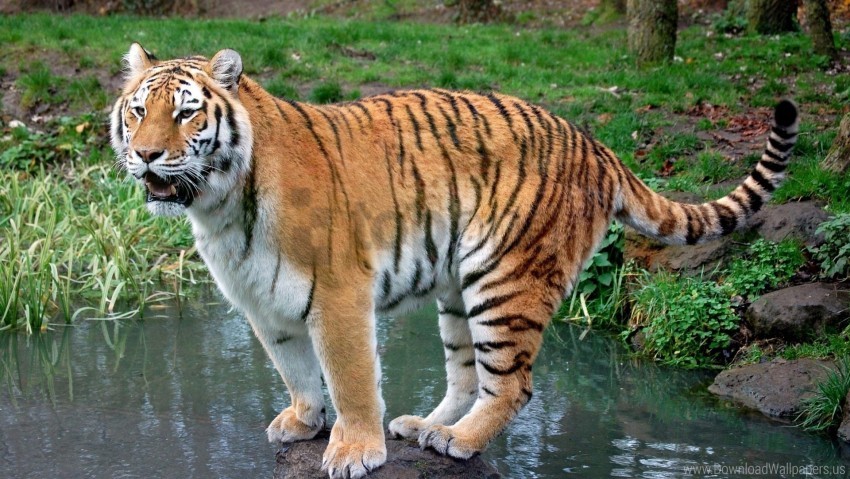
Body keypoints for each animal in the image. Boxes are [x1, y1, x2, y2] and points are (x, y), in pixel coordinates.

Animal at [110, 42, 799, 479]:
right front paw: (304, 422)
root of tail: (597, 144)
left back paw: (459, 441)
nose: (145, 155)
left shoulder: (338, 294)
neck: (220, 206)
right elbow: (296, 370)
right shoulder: (261, 302)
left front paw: (353, 450)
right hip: (457, 288)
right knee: (468, 374)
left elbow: (349, 377)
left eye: (187, 112)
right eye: (139, 111)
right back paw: (424, 427)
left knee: (513, 384)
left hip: (506, 279)